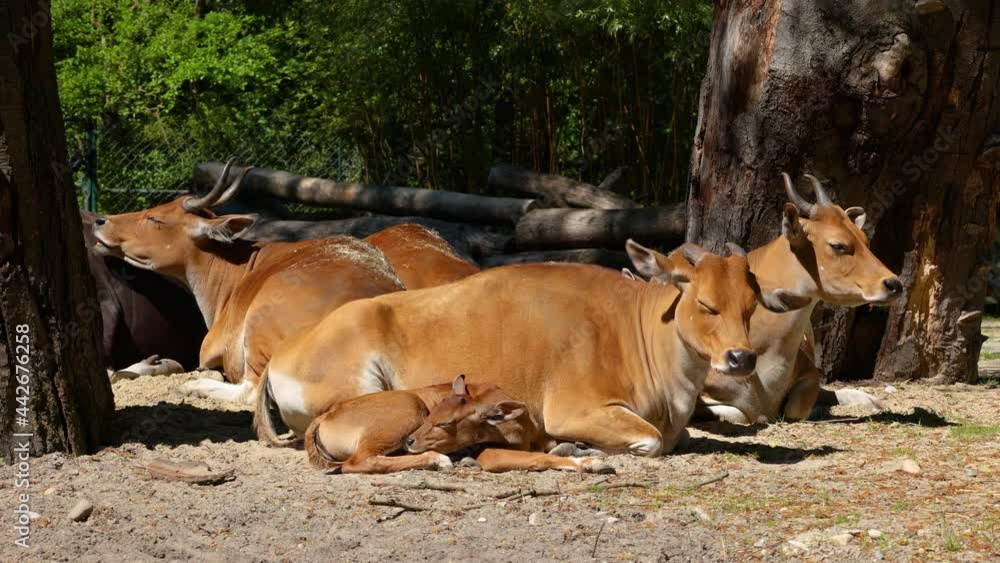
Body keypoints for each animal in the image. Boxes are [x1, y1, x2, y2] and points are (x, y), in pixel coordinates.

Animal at [91, 160, 405, 404]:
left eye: (155, 218)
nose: (100, 222)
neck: (236, 270)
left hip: (259, 326)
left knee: (250, 390)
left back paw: (193, 384)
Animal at [256, 241, 808, 456]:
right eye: (705, 303)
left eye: (750, 304)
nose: (740, 358)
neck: (633, 331)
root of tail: (281, 357)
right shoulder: (575, 409)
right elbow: (649, 440)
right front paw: (574, 447)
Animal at [304, 374, 611, 474]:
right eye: (434, 417)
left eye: (446, 422)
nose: (410, 441)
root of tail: (324, 416)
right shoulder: (490, 454)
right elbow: (540, 458)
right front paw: (590, 463)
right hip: (407, 408)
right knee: (358, 462)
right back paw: (436, 459)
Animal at [694, 173, 903, 424]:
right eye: (838, 245)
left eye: (864, 239)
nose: (894, 284)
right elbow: (741, 414)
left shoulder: (810, 373)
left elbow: (797, 408)